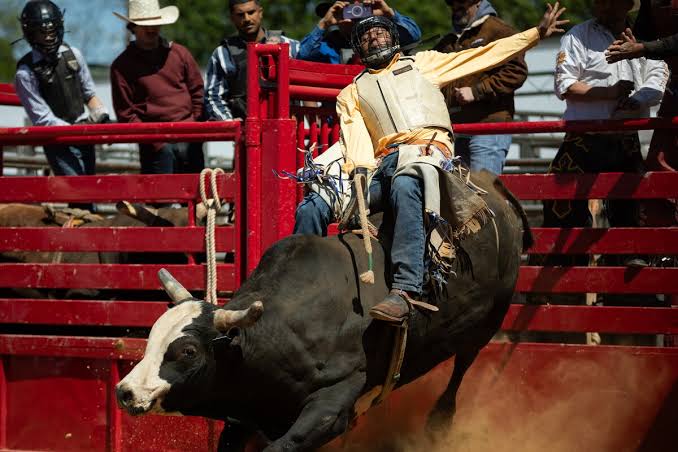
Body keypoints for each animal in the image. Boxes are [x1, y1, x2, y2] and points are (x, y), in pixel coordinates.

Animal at [115, 173, 532, 451]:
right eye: (151, 339)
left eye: (188, 351)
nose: (125, 391)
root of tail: (493, 186)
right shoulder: (251, 413)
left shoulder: (333, 405)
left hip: (487, 322)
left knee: (462, 366)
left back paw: (439, 423)